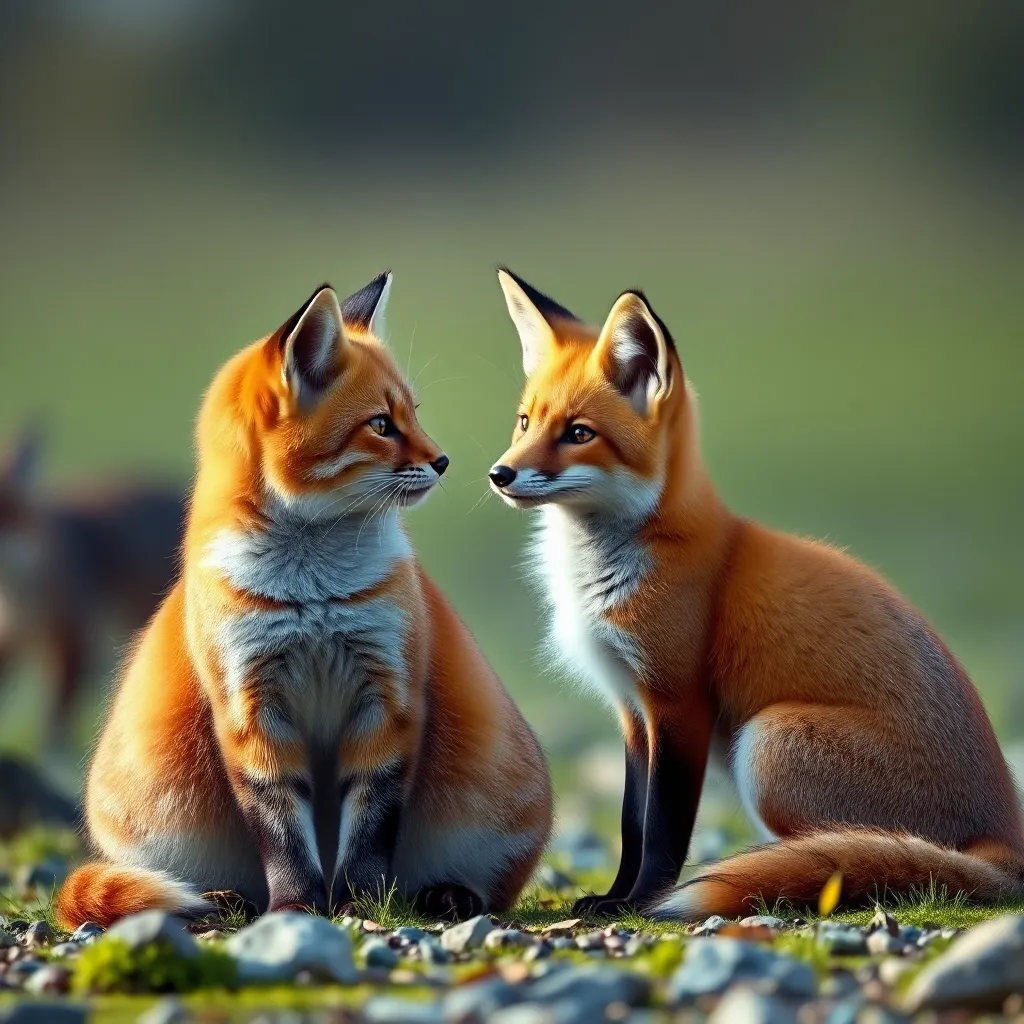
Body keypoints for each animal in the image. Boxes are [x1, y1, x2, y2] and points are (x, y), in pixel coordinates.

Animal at [56, 274, 552, 929]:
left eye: (412, 414)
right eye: (381, 424)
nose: (445, 461)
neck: (312, 596)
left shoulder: (387, 697)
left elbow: (369, 828)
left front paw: (362, 902)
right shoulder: (250, 707)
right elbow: (282, 833)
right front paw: (296, 907)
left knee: (480, 886)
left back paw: (446, 895)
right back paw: (224, 901)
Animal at [488, 267, 1024, 920]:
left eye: (578, 434)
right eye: (524, 422)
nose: (499, 474)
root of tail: (1007, 845)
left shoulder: (678, 702)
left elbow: (662, 831)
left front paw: (639, 903)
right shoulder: (632, 710)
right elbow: (632, 824)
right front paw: (612, 898)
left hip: (768, 740)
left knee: (845, 848)